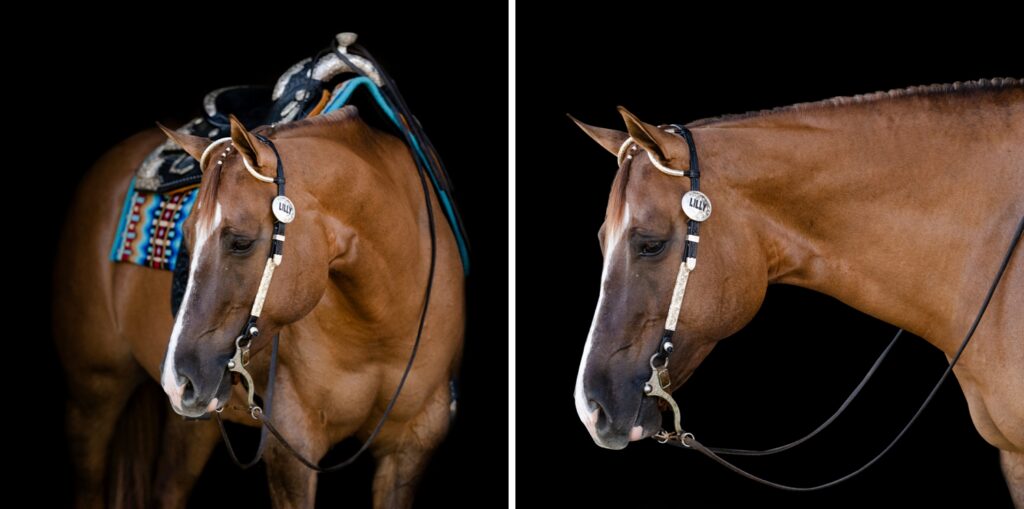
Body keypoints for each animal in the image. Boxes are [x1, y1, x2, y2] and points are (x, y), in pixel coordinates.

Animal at [52, 107, 465, 508]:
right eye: (186, 237)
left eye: (241, 242)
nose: (176, 378)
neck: (381, 327)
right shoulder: (292, 449)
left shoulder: (410, 447)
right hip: (93, 395)